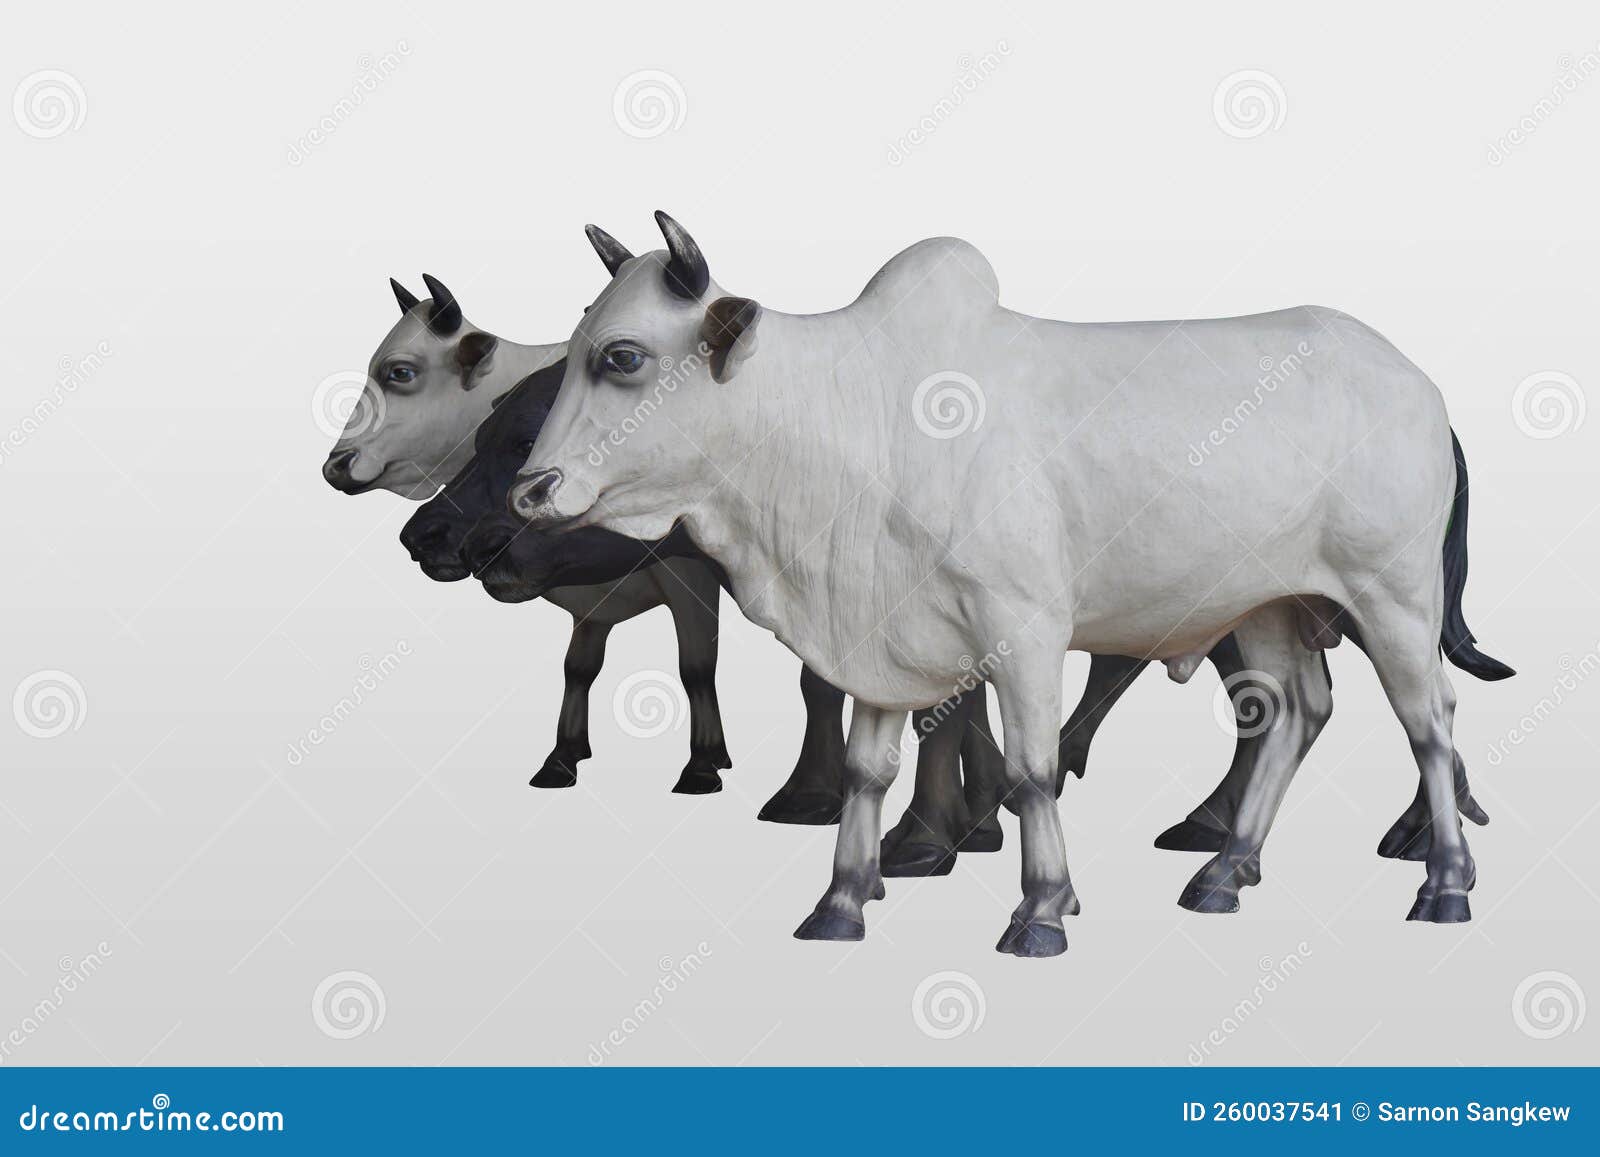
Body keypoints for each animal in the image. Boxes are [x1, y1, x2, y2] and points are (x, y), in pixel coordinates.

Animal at [509, 213, 1514, 956]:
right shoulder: (880, 629)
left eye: (624, 356)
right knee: (1296, 714)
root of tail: (1419, 384)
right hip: (1268, 604)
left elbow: (1035, 770)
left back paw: (1445, 883)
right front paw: (841, 901)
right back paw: (1225, 871)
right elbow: (869, 772)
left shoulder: (1025, 627)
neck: (855, 423)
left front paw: (1041, 908)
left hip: (1394, 599)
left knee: (1430, 723)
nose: (530, 490)